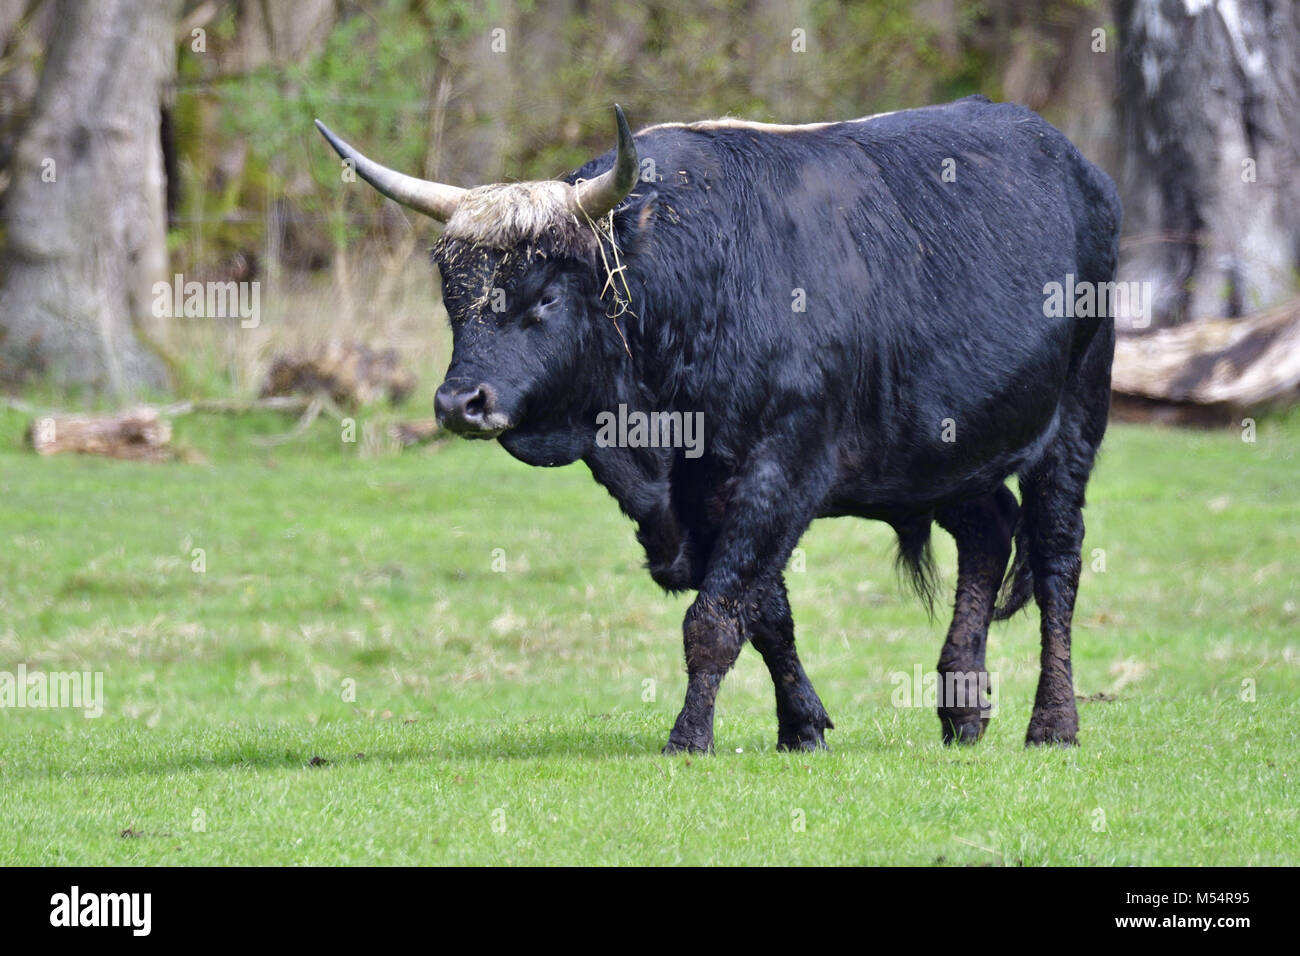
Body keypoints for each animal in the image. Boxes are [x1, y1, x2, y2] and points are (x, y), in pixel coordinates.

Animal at [315, 95, 1121, 753]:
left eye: (544, 295)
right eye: (454, 298)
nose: (460, 404)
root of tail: (1079, 165)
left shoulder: (781, 469)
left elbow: (714, 617)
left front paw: (689, 737)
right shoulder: (704, 495)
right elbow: (764, 613)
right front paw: (802, 726)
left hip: (1075, 419)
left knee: (1057, 560)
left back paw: (1053, 724)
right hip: (947, 451)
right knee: (988, 533)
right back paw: (961, 704)